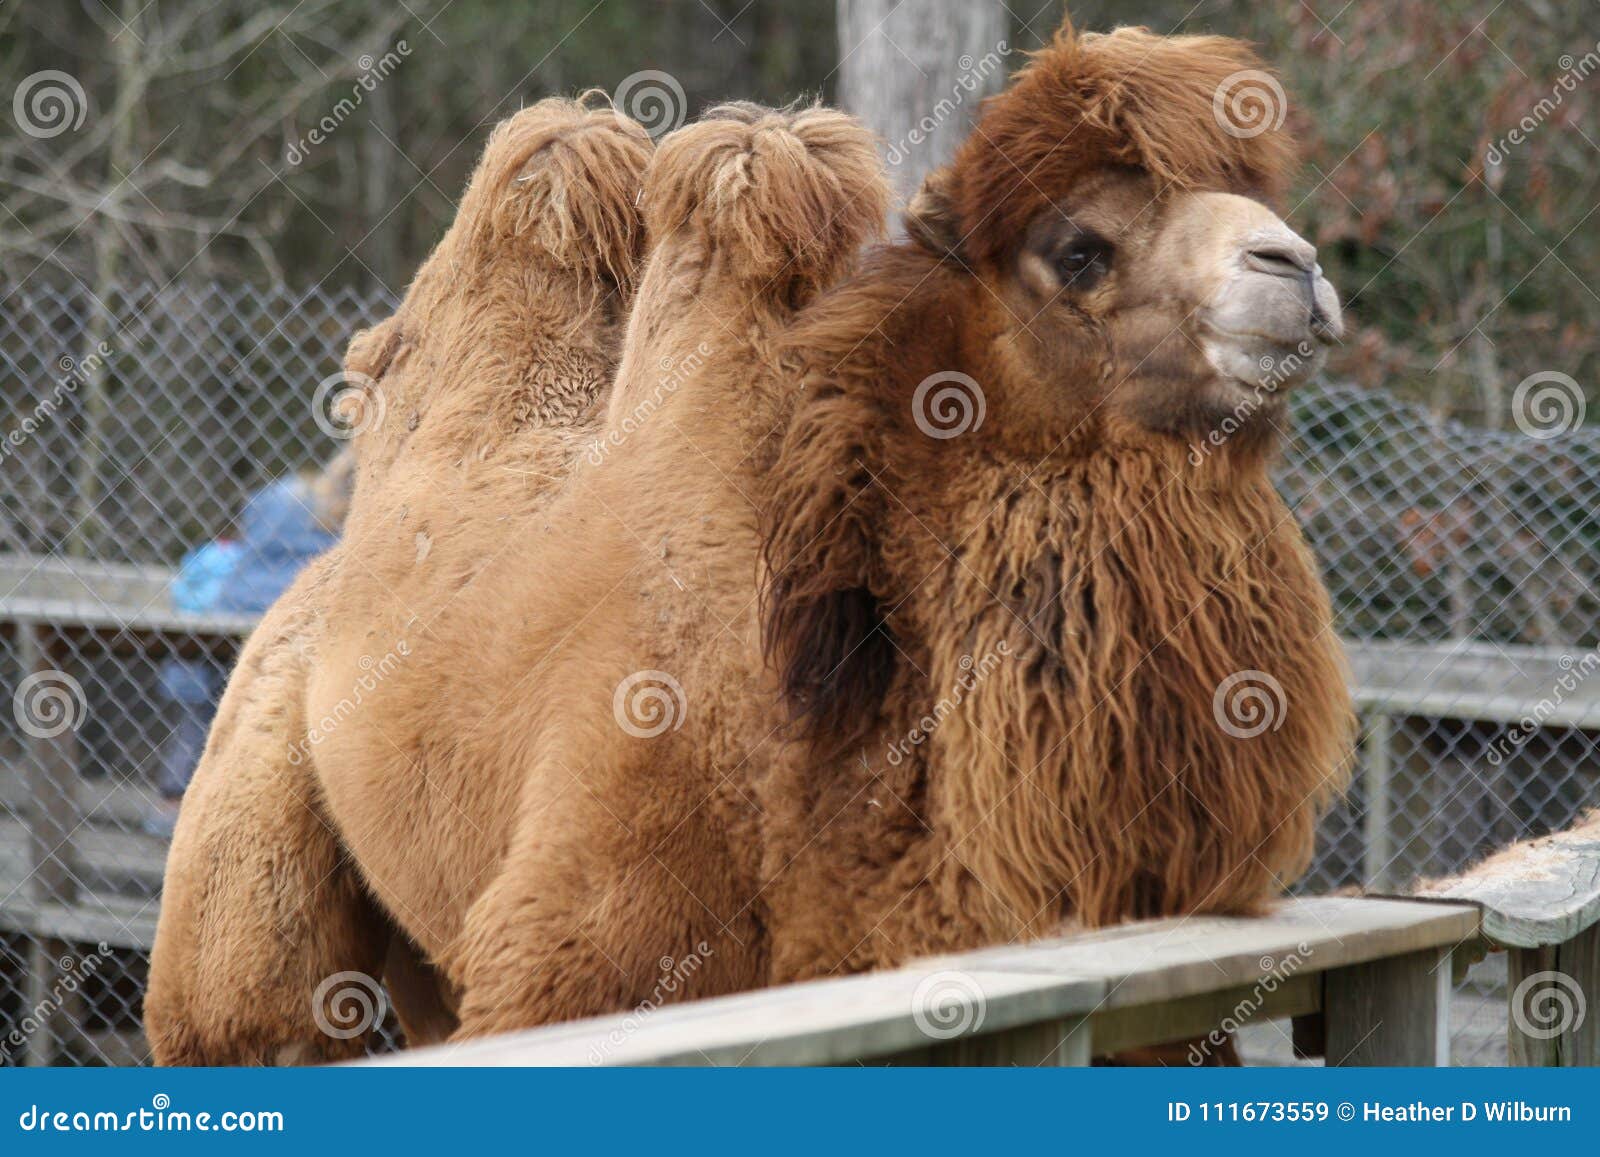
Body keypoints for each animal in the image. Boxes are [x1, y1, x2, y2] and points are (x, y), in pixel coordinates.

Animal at [149, 23, 1354, 1063]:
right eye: (1079, 248)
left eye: (1254, 200)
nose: (1293, 265)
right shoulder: (577, 949)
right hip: (253, 866)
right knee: (253, 1019)